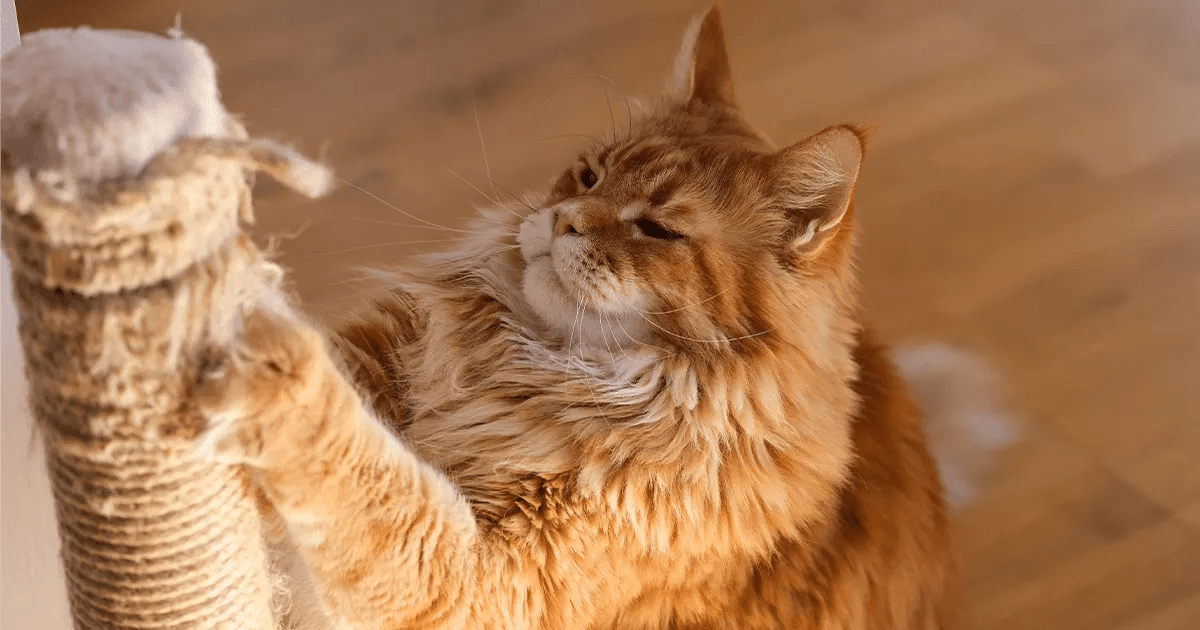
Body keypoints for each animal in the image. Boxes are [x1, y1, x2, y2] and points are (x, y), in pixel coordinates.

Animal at [194, 3, 1012, 624]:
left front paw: (269, 357)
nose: (565, 221)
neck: (530, 369)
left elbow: (364, 473)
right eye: (588, 175)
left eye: (656, 229)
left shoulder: (482, 583)